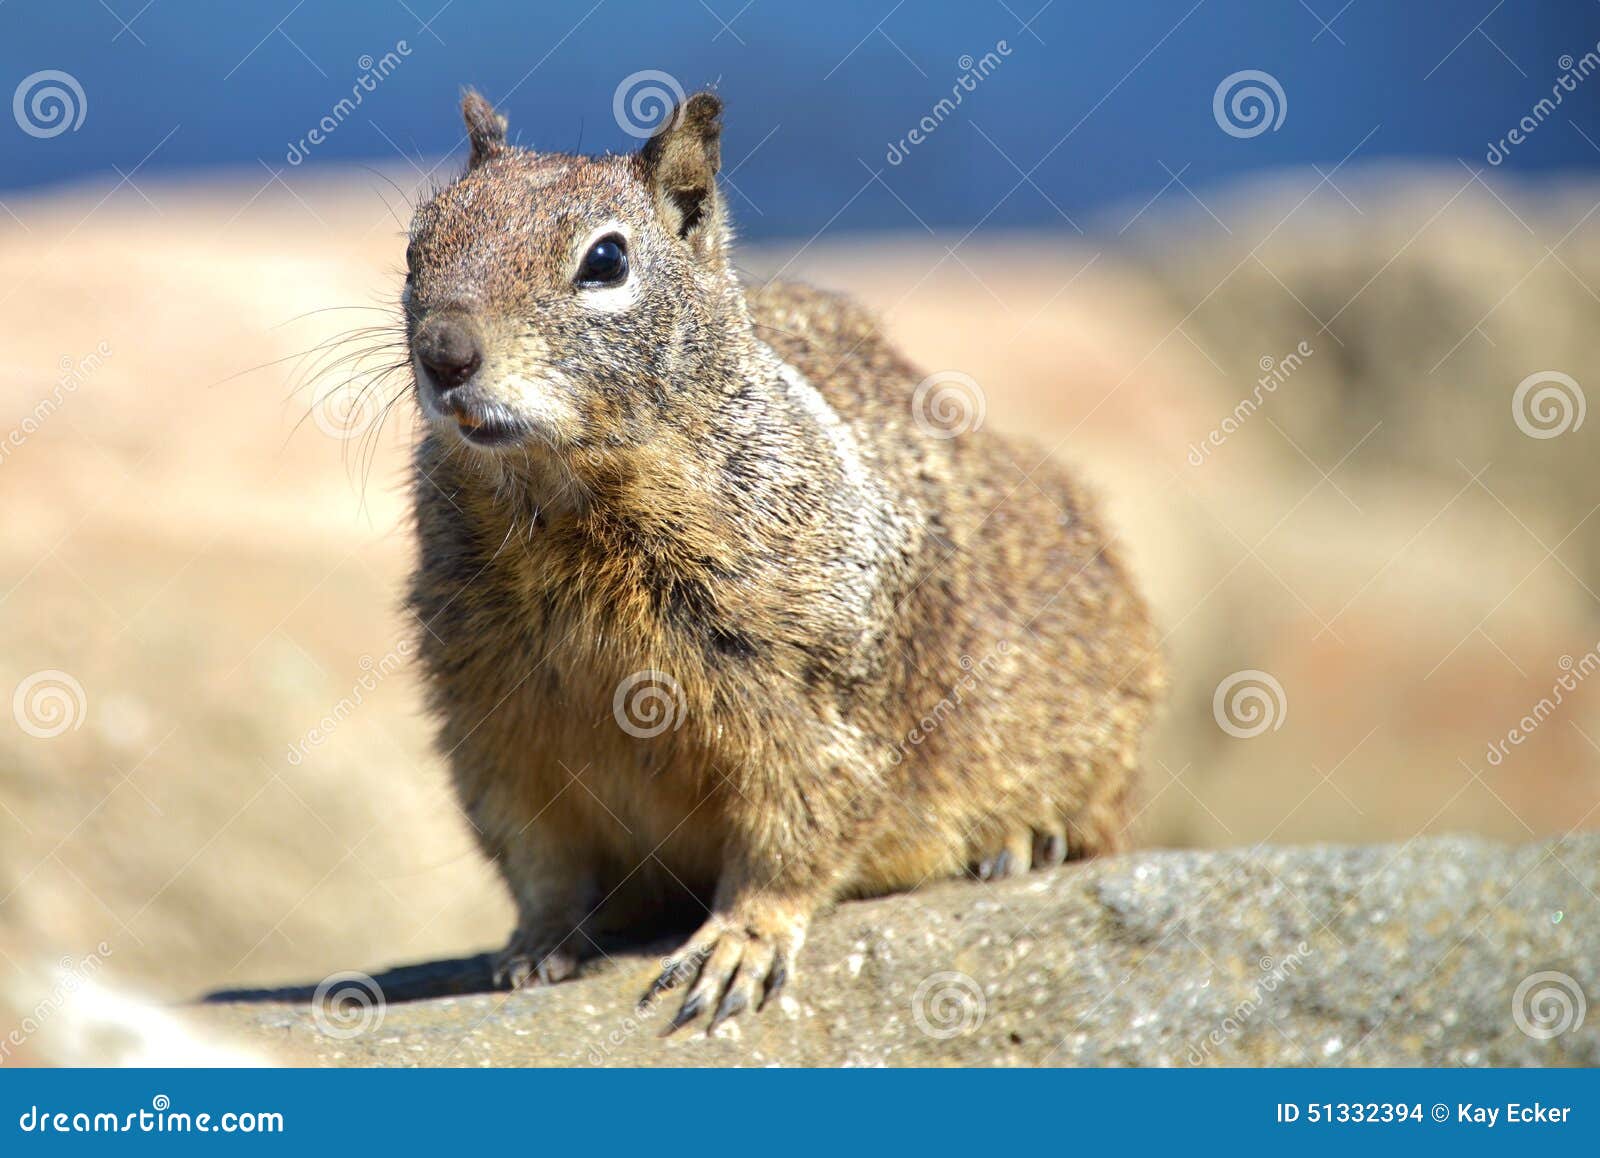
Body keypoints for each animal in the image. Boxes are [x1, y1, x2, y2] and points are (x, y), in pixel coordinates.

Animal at [402, 89, 1164, 1033]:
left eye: (606, 260)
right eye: (416, 241)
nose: (444, 352)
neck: (567, 511)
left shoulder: (812, 698)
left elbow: (793, 830)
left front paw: (740, 941)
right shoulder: (492, 717)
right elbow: (536, 853)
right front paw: (534, 946)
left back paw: (1030, 838)